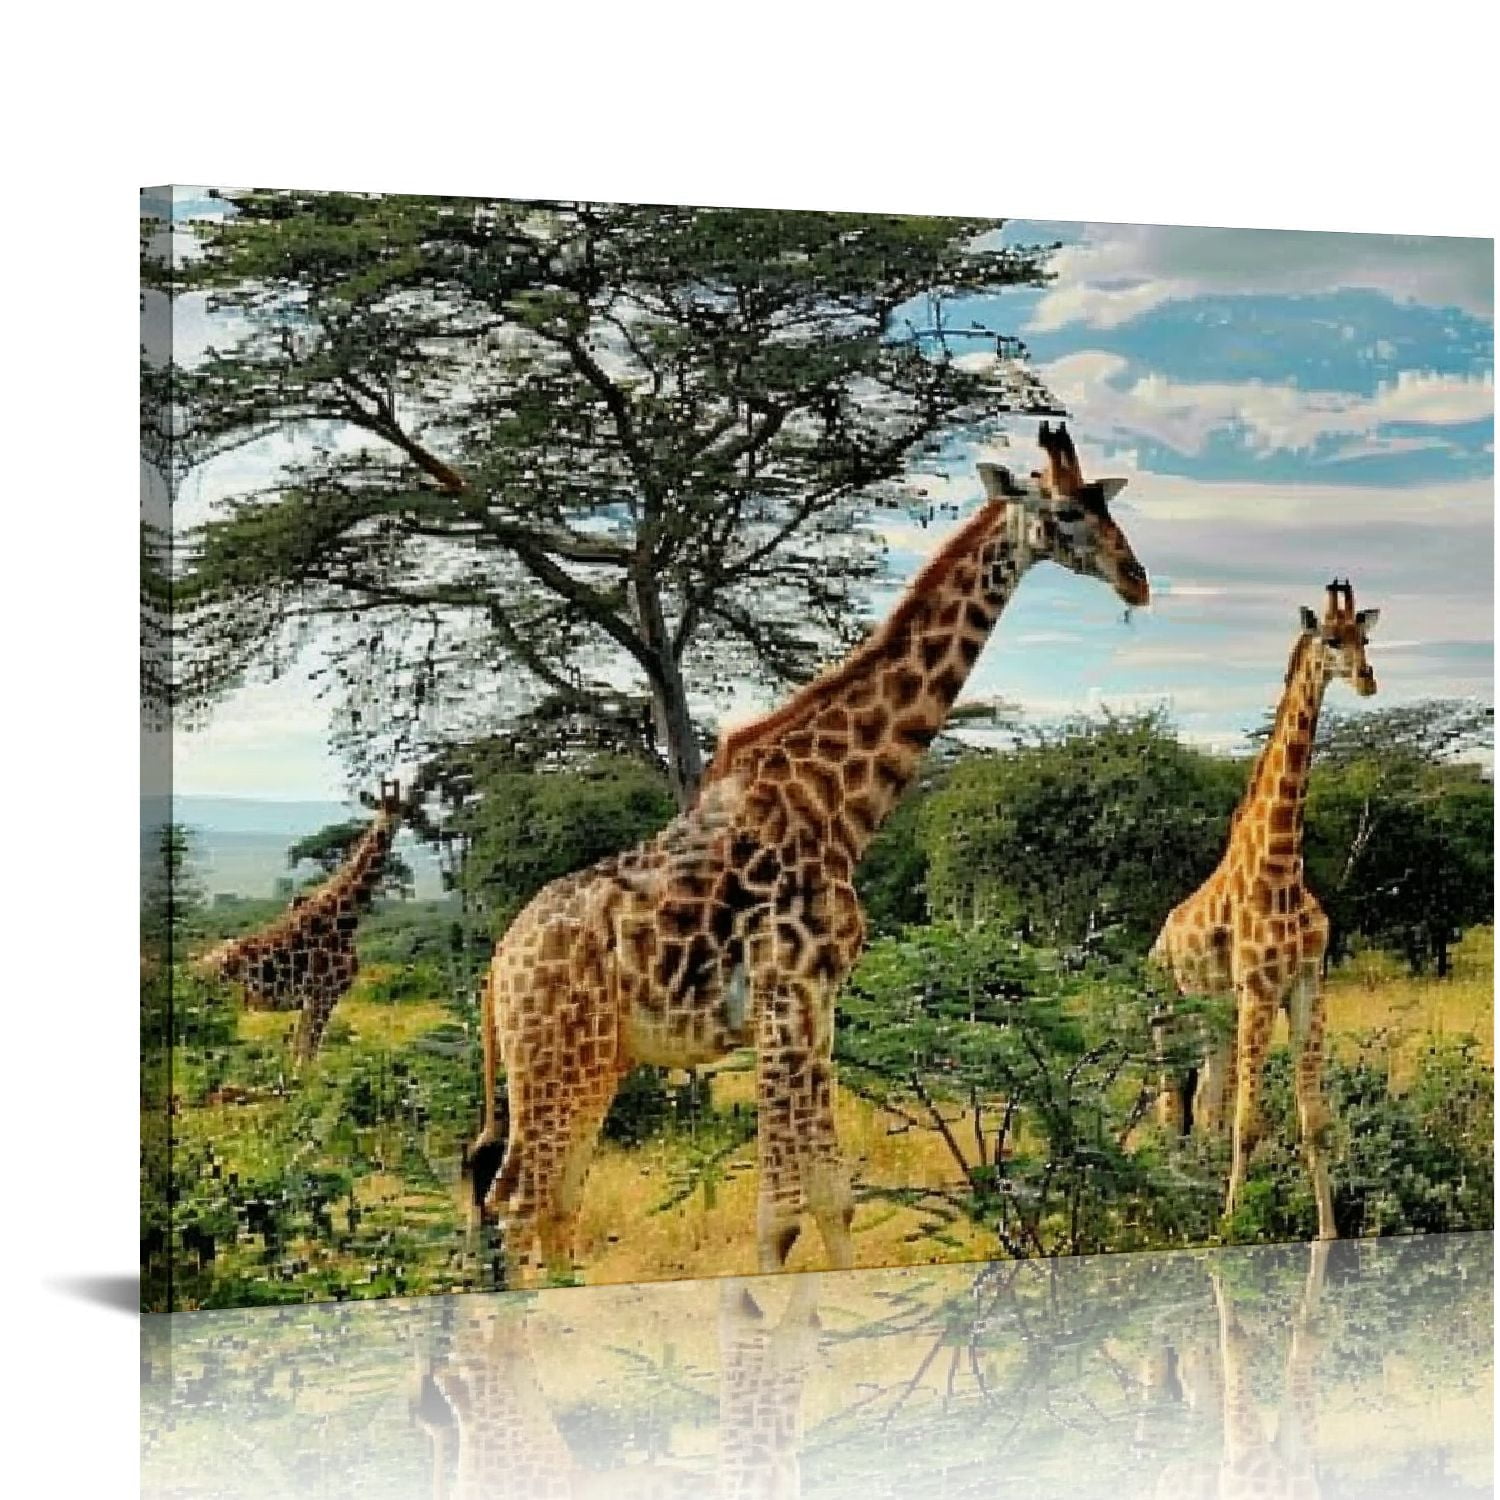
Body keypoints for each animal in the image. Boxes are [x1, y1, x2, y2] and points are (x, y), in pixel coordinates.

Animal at [192, 778, 405, 1065]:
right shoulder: (322, 994)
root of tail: (191, 970)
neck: (345, 917)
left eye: (402, 807)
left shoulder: (313, 999)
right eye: (380, 807)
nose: (388, 827)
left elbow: (300, 1053)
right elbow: (306, 1057)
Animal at [467, 421, 1151, 1286]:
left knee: (555, 1203)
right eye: (1064, 513)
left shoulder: (819, 1002)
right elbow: (780, 1217)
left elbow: (831, 1197)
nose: (1137, 580)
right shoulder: (784, 995)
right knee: (518, 1201)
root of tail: (496, 969)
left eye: (1106, 505)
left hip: (593, 1063)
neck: (838, 806)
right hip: (559, 1057)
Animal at [1150, 582, 1380, 1240]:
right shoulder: (1257, 988)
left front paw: (1328, 1233)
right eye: (1329, 638)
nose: (1366, 680)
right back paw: (1184, 1204)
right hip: (1167, 1011)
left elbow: (1314, 1119)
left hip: (1215, 1014)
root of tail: (1157, 939)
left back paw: (1200, 1191)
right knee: (1172, 1102)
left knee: (1206, 1099)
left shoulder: (1305, 984)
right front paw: (1232, 1229)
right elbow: (1248, 1122)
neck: (1280, 869)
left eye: (1364, 637)